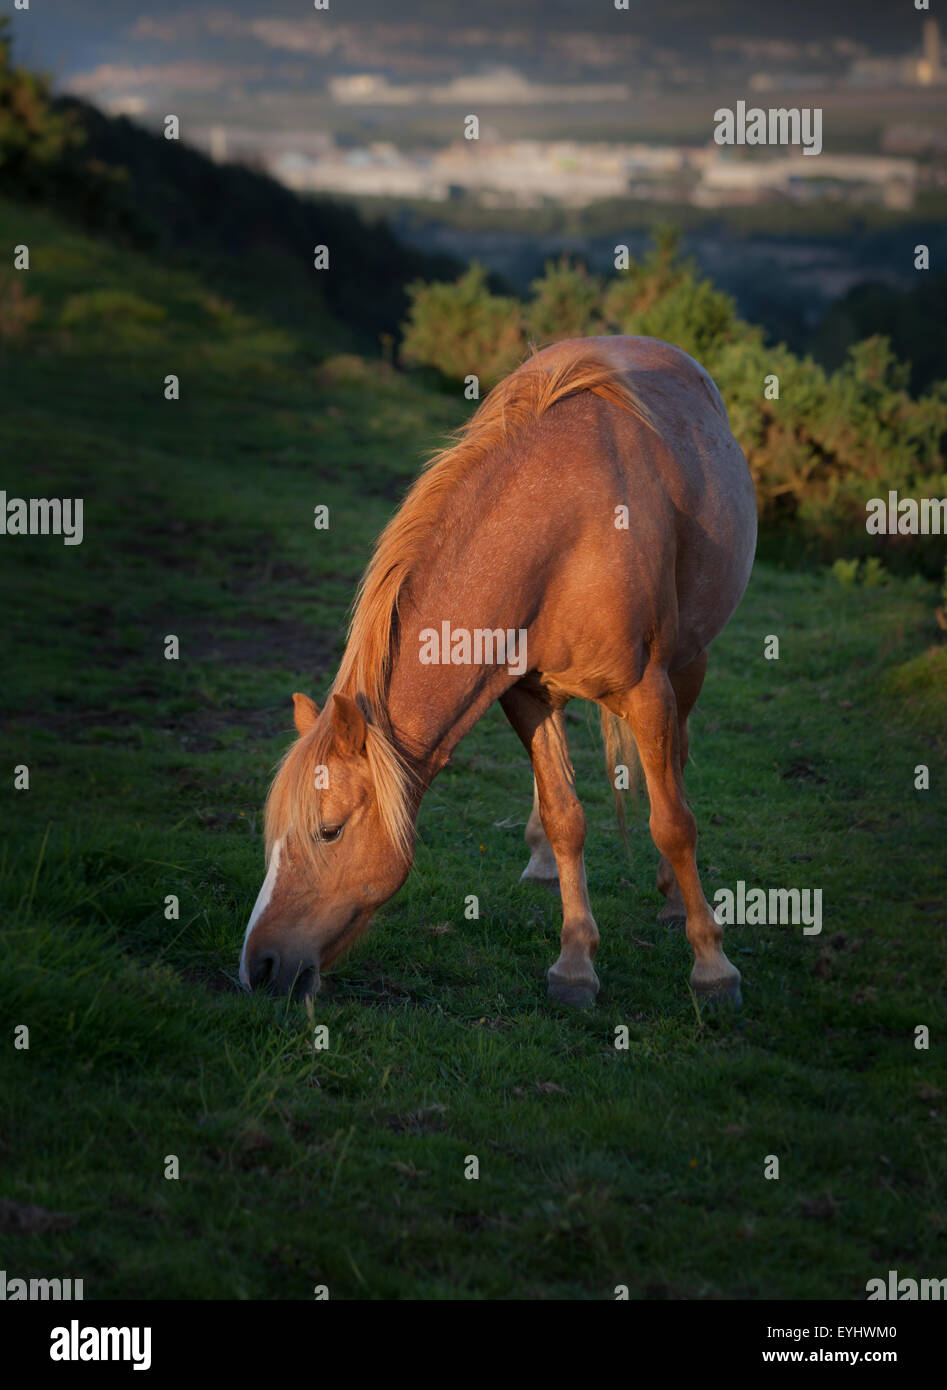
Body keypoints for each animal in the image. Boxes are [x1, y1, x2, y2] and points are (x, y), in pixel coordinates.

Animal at [239, 335, 757, 1009]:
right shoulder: (525, 696)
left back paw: (674, 898)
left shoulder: (649, 691)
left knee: (677, 761)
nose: (257, 967)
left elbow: (672, 823)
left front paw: (712, 968)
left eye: (328, 832)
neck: (569, 534)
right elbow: (566, 820)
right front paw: (574, 966)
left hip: (690, 663)